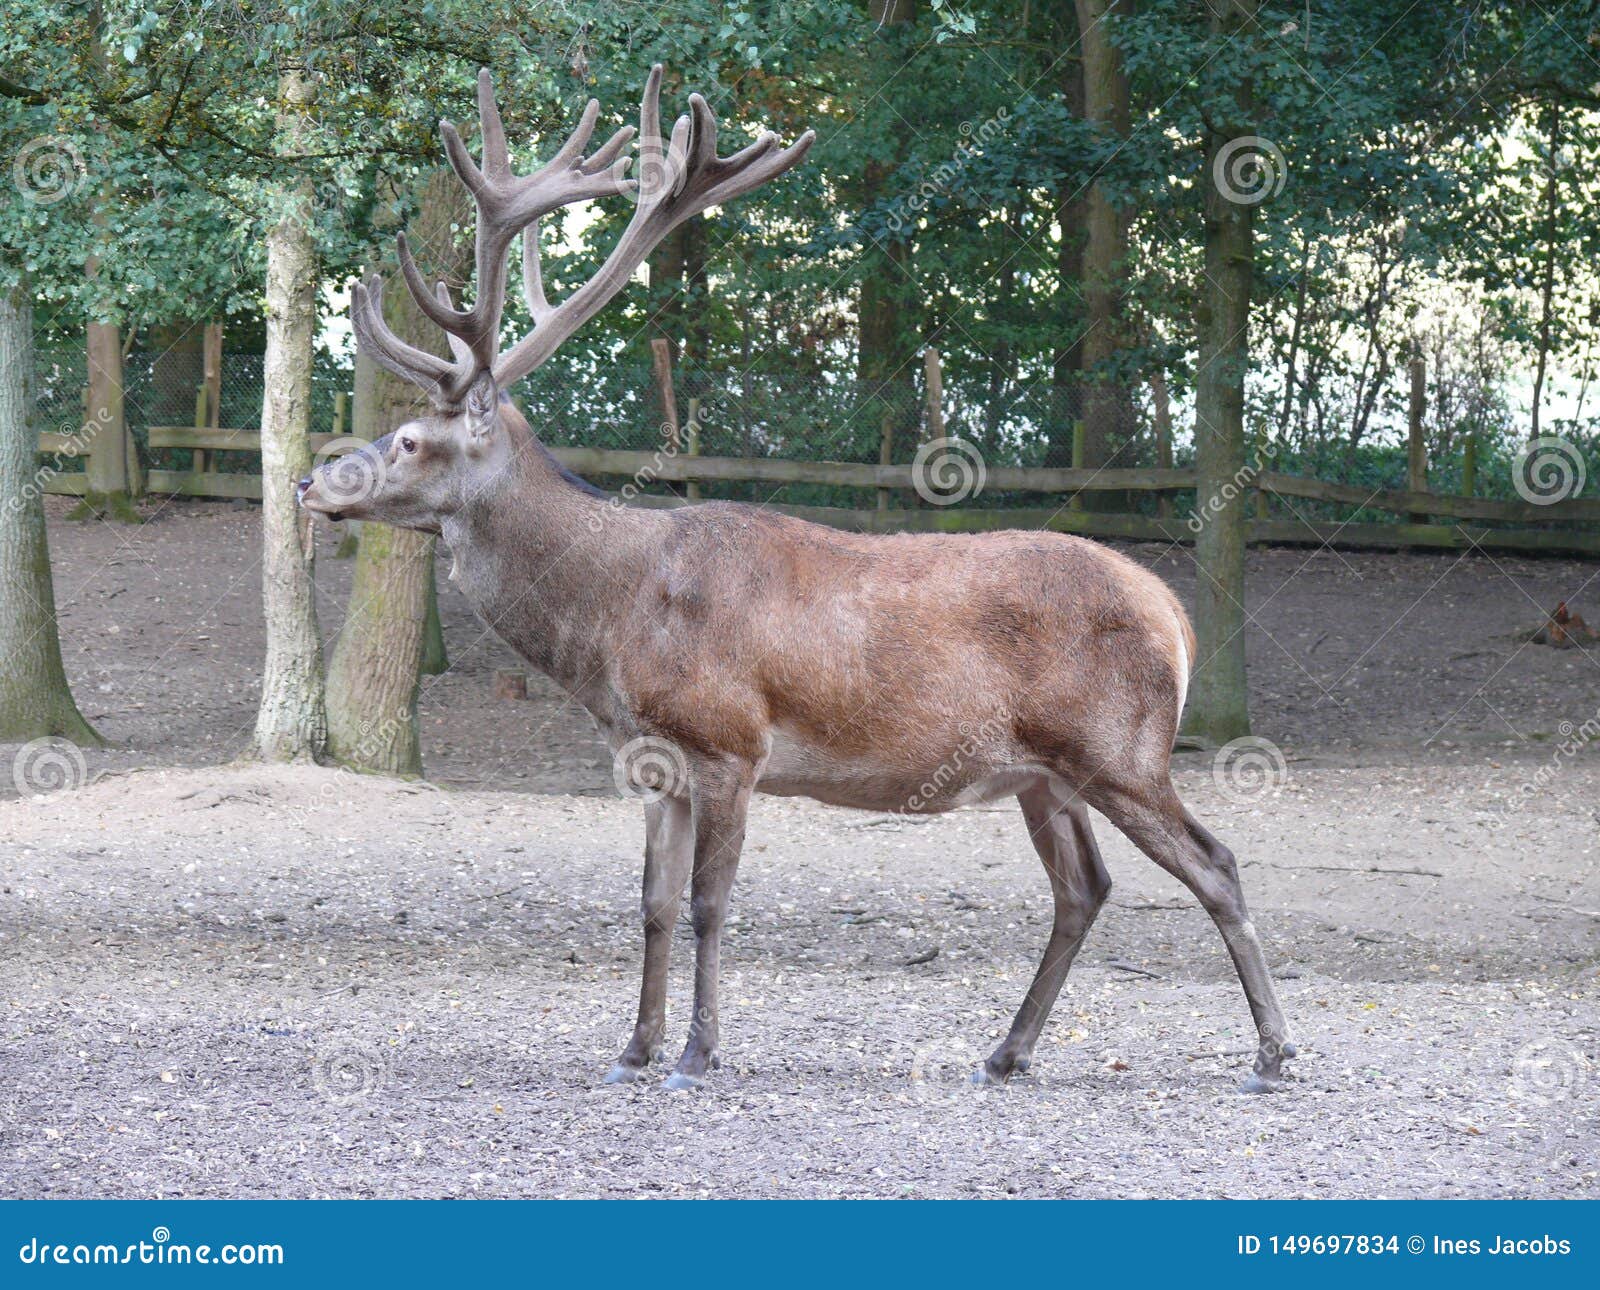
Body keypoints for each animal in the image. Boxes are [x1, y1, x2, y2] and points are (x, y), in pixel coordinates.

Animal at [298, 65, 1297, 1094]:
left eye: (409, 440)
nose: (306, 482)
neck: (610, 623)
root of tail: (1174, 611)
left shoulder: (728, 741)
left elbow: (708, 903)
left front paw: (698, 1054)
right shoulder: (653, 763)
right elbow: (652, 904)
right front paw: (633, 1048)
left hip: (1120, 749)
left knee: (1216, 863)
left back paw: (1271, 1053)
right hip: (1043, 773)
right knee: (1084, 888)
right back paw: (1007, 1050)